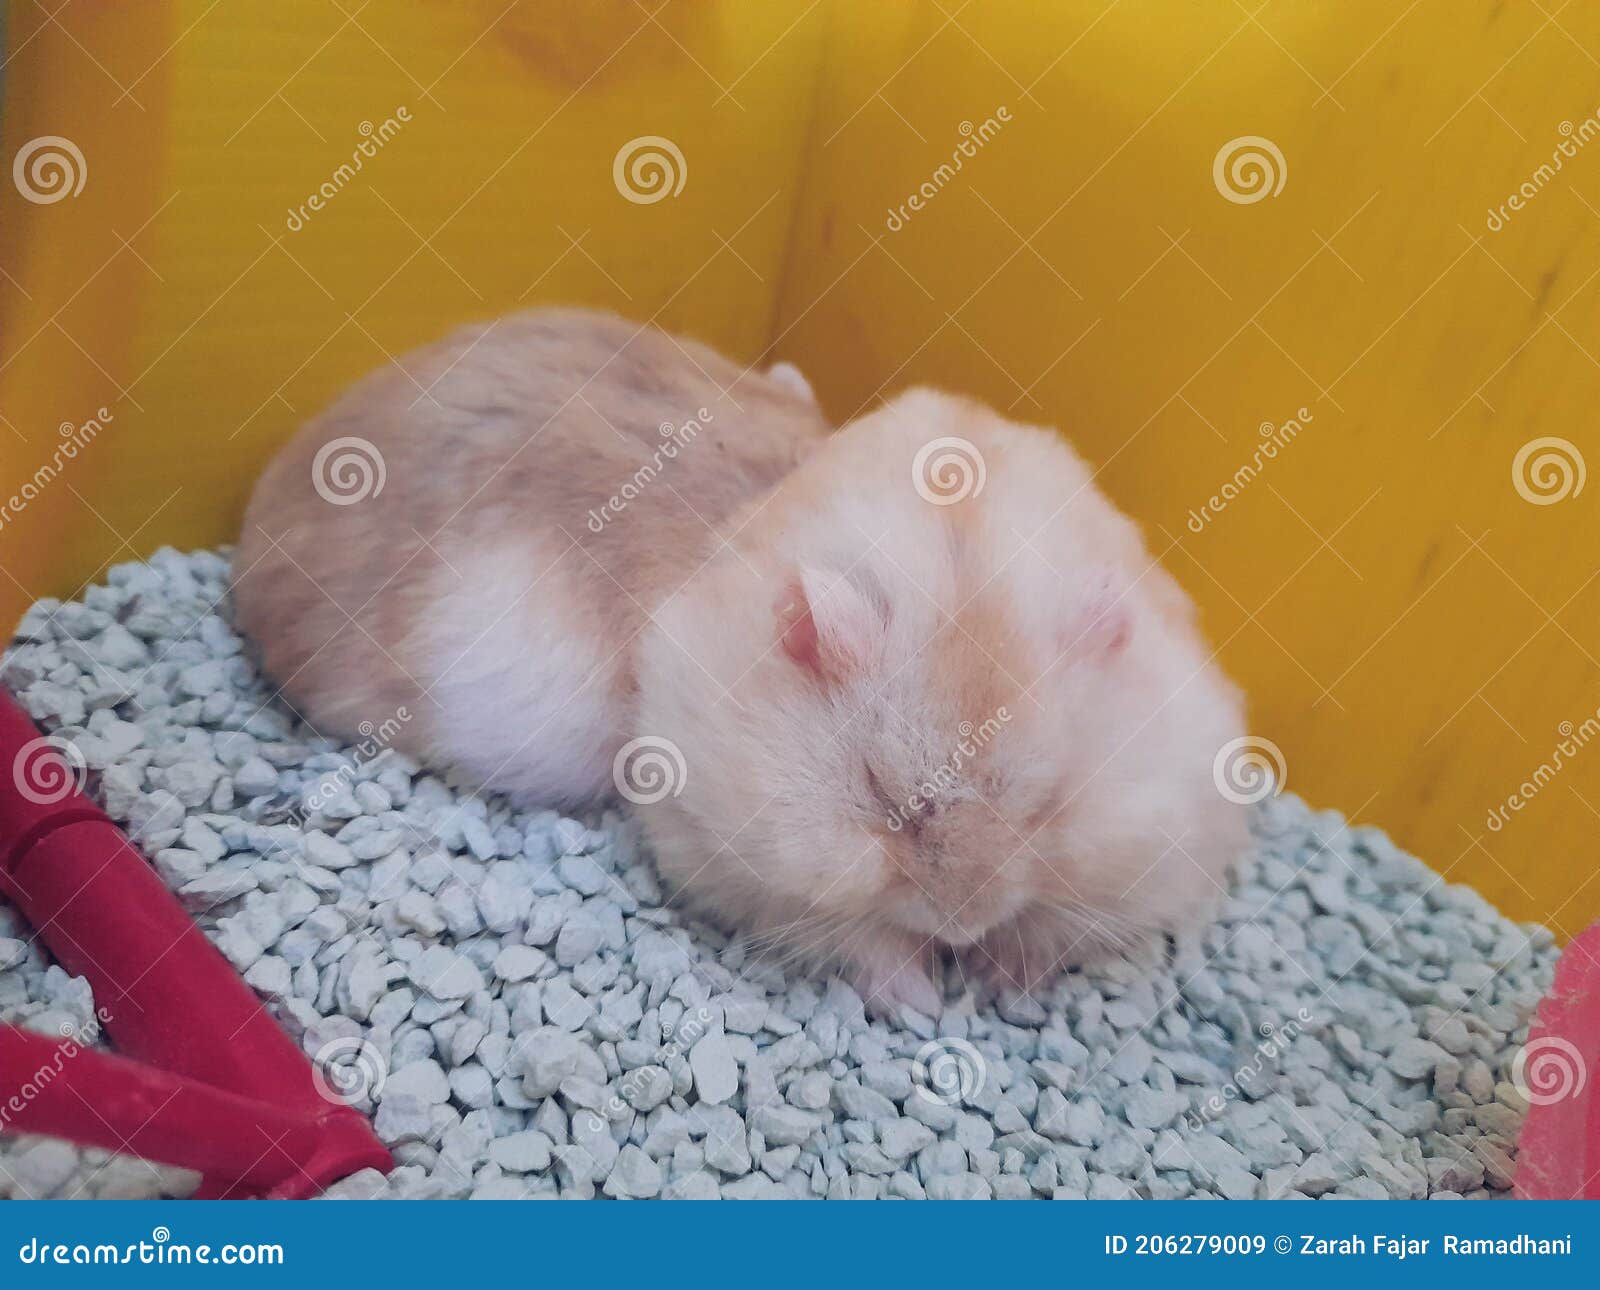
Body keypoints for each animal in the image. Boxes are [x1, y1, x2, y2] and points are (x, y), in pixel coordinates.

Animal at [633, 387, 1248, 1014]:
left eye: (1046, 803)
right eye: (882, 795)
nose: (962, 930)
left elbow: (1049, 926)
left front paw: (998, 978)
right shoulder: (737, 859)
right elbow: (862, 935)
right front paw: (922, 999)